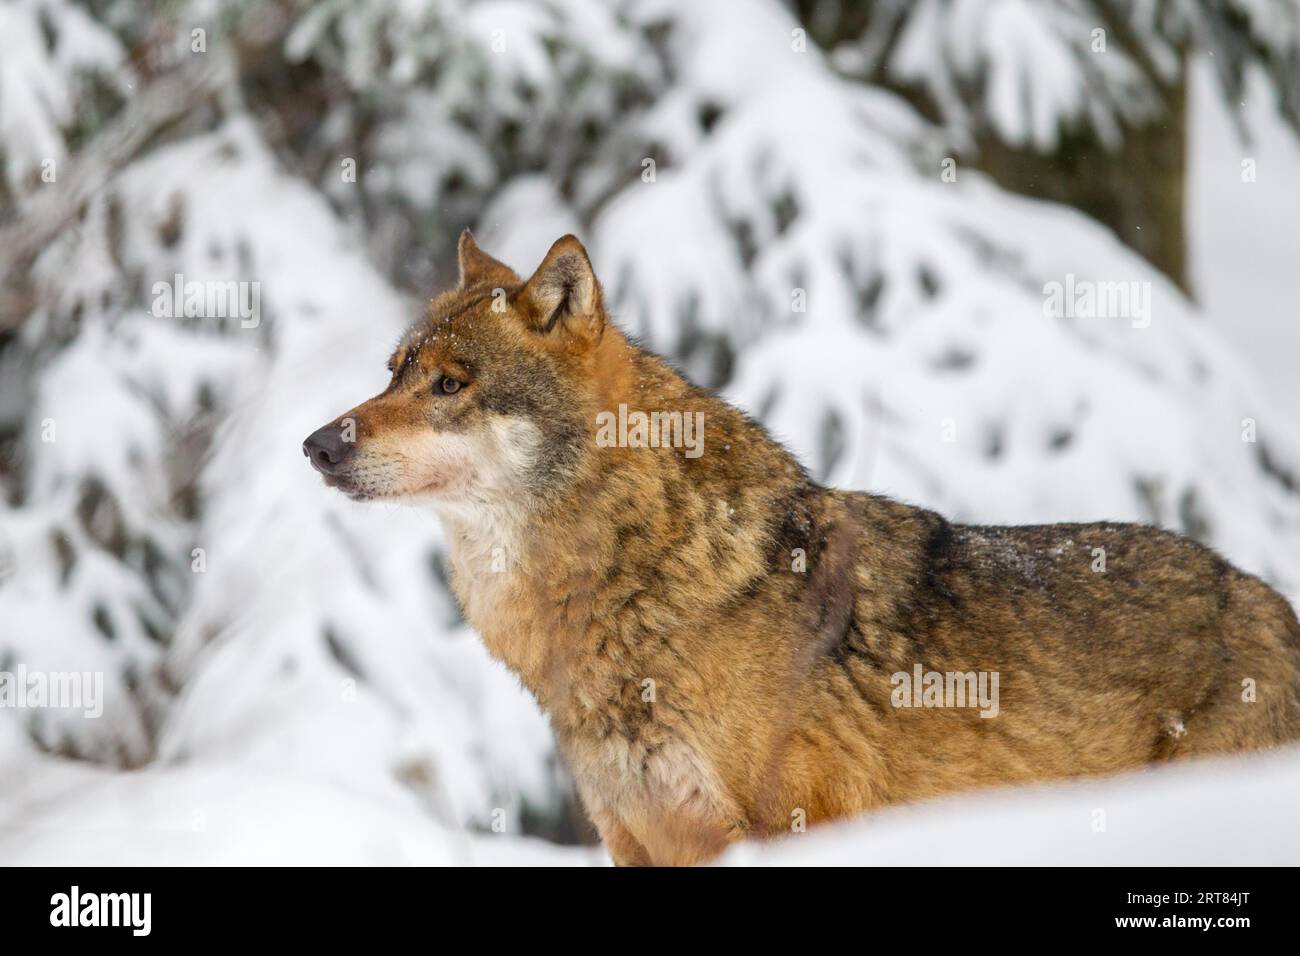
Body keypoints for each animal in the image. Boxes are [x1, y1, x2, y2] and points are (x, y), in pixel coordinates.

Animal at [304, 232, 1300, 865]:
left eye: (450, 385)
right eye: (394, 372)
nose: (316, 444)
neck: (643, 577)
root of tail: (1272, 604)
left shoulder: (788, 827)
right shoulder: (639, 841)